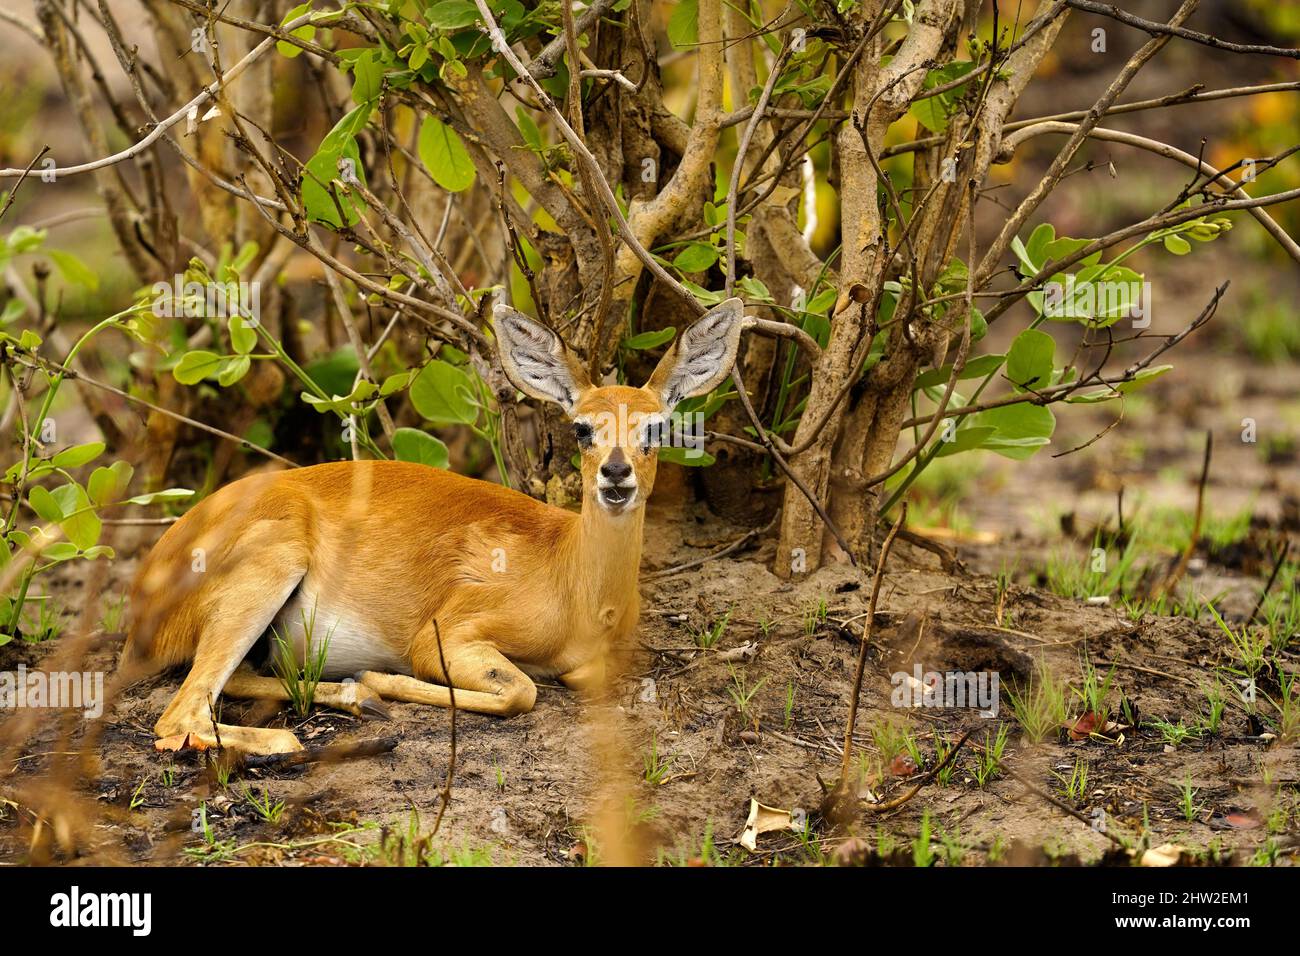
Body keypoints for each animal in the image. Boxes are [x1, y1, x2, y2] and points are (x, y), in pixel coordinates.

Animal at [122, 298, 745, 755]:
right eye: (582, 429)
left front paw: (368, 688)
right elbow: (521, 691)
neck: (577, 588)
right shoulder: (447, 634)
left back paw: (352, 699)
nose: (616, 475)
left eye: (656, 428)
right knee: (181, 714)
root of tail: (147, 584)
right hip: (268, 572)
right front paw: (380, 682)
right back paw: (301, 737)